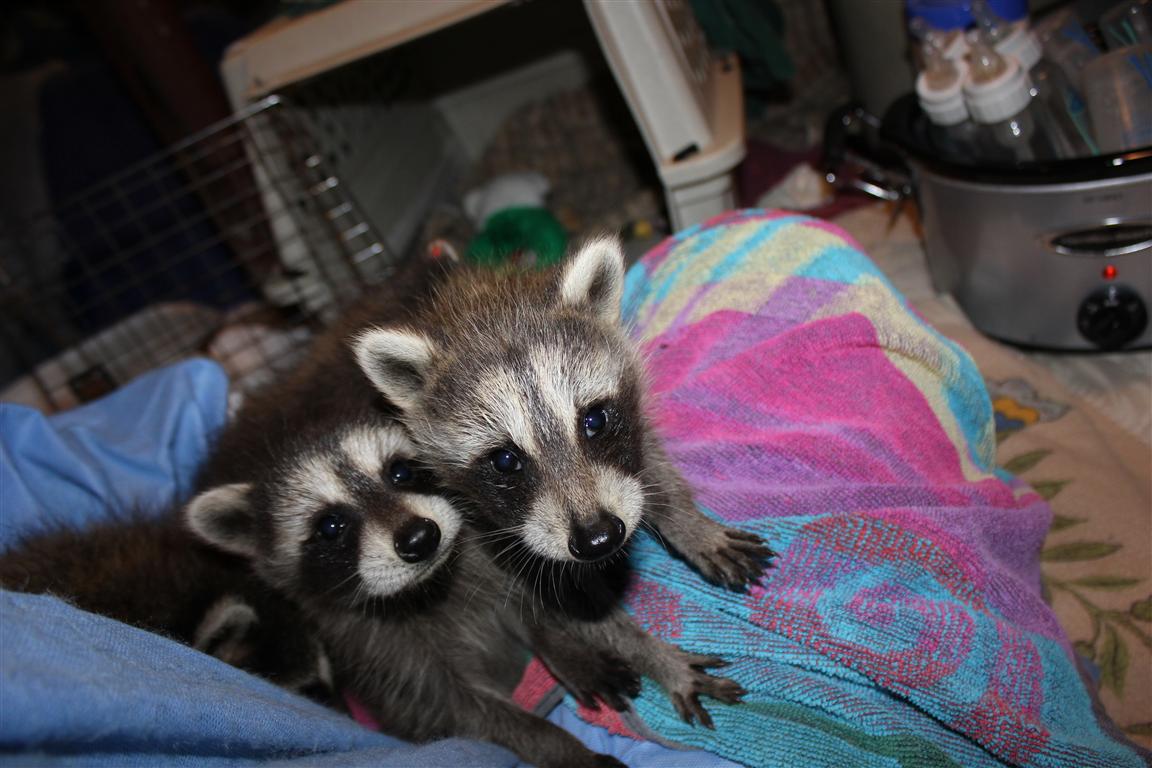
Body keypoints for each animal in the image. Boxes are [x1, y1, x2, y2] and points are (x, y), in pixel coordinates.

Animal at [350, 236, 772, 722]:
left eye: (594, 420)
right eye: (505, 461)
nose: (599, 538)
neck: (481, 305)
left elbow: (648, 470)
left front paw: (690, 526)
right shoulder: (488, 528)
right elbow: (570, 601)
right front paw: (655, 657)